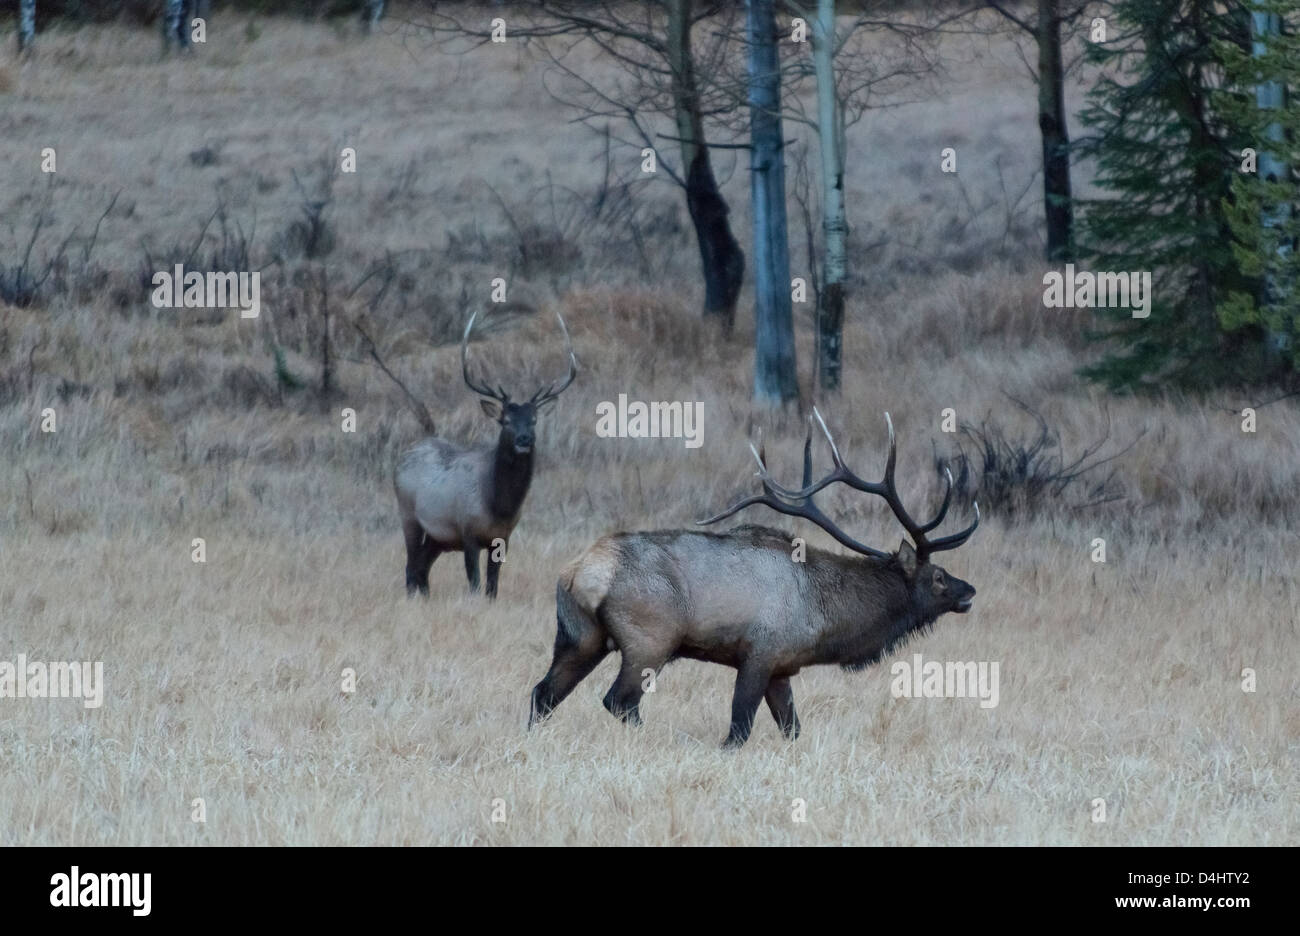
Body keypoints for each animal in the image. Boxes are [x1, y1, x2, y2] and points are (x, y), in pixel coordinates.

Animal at [394, 310, 576, 600]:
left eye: (534, 420)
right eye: (506, 420)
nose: (524, 439)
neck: (498, 505)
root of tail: (402, 456)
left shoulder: (503, 537)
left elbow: (492, 587)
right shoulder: (467, 530)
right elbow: (475, 583)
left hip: (437, 537)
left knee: (422, 568)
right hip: (408, 514)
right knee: (411, 566)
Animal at [528, 409, 980, 748]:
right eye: (939, 576)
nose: (970, 589)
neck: (823, 620)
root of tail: (581, 572)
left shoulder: (782, 667)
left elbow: (792, 729)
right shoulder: (760, 651)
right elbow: (739, 729)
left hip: (579, 637)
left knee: (543, 692)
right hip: (649, 639)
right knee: (619, 701)